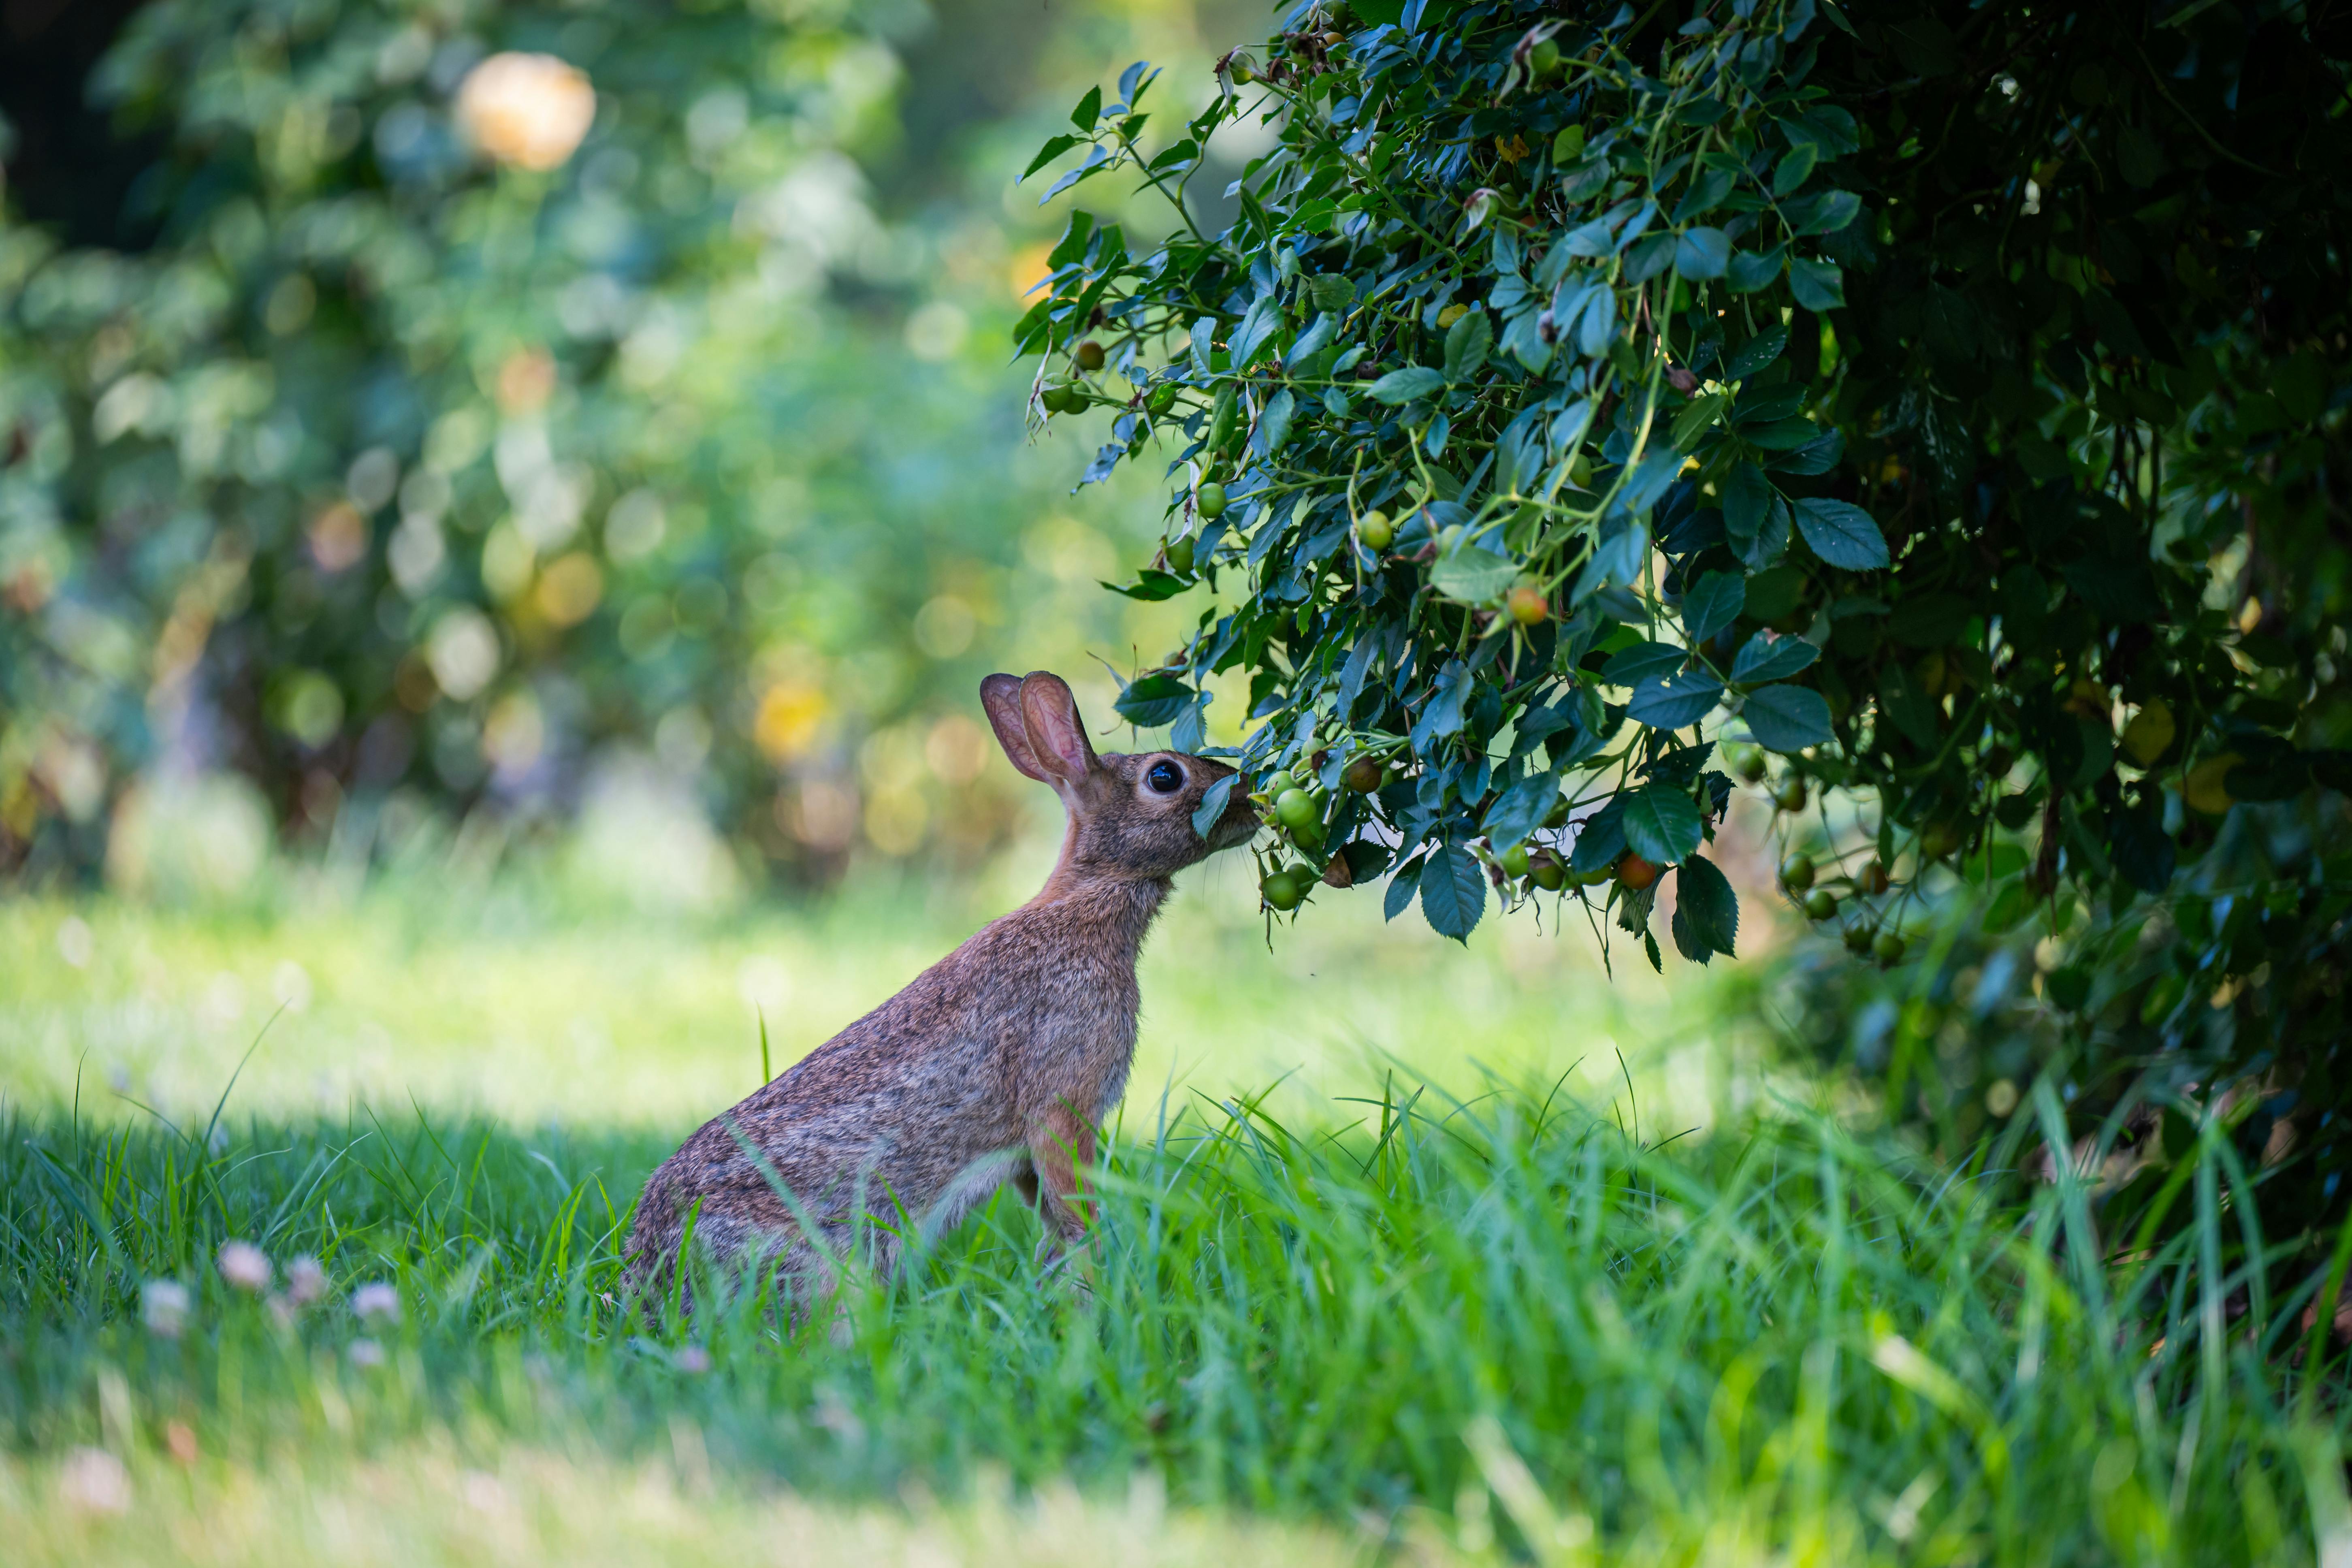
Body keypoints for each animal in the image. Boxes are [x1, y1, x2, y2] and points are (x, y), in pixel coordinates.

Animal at [627, 670, 1258, 1309]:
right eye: (1164, 775)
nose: (1251, 795)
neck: (1090, 895)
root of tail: (647, 1285)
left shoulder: (1026, 1151)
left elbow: (1050, 1214)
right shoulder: (1062, 1101)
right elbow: (1074, 1209)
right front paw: (1097, 1289)